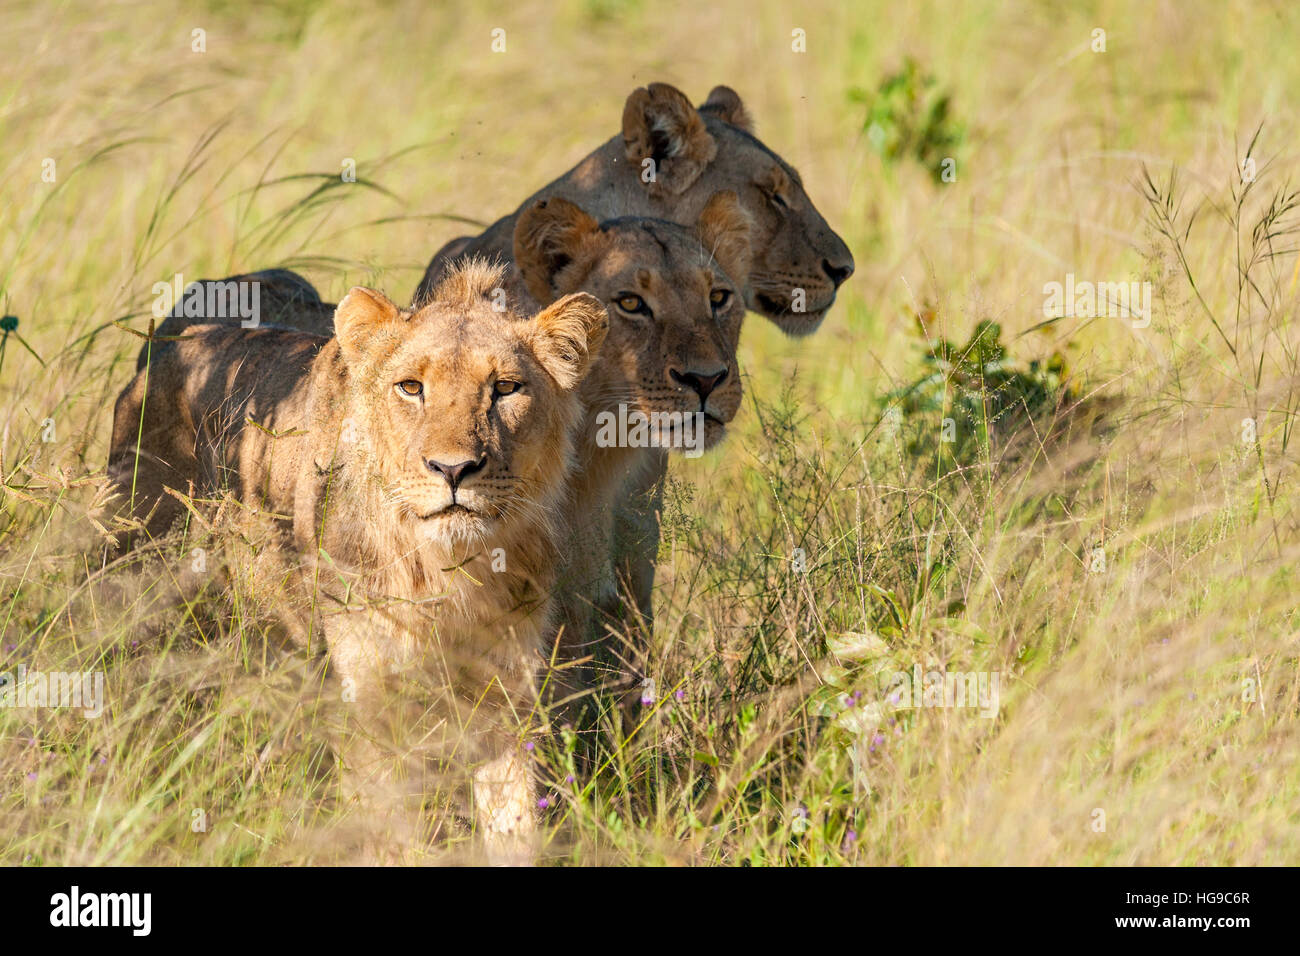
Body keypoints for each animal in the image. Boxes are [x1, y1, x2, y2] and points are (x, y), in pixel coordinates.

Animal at [107, 262, 608, 862]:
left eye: (506, 388)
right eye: (411, 387)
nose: (453, 469)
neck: (450, 570)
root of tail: (178, 339)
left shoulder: (505, 699)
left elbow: (515, 827)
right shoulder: (370, 706)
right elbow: (390, 833)